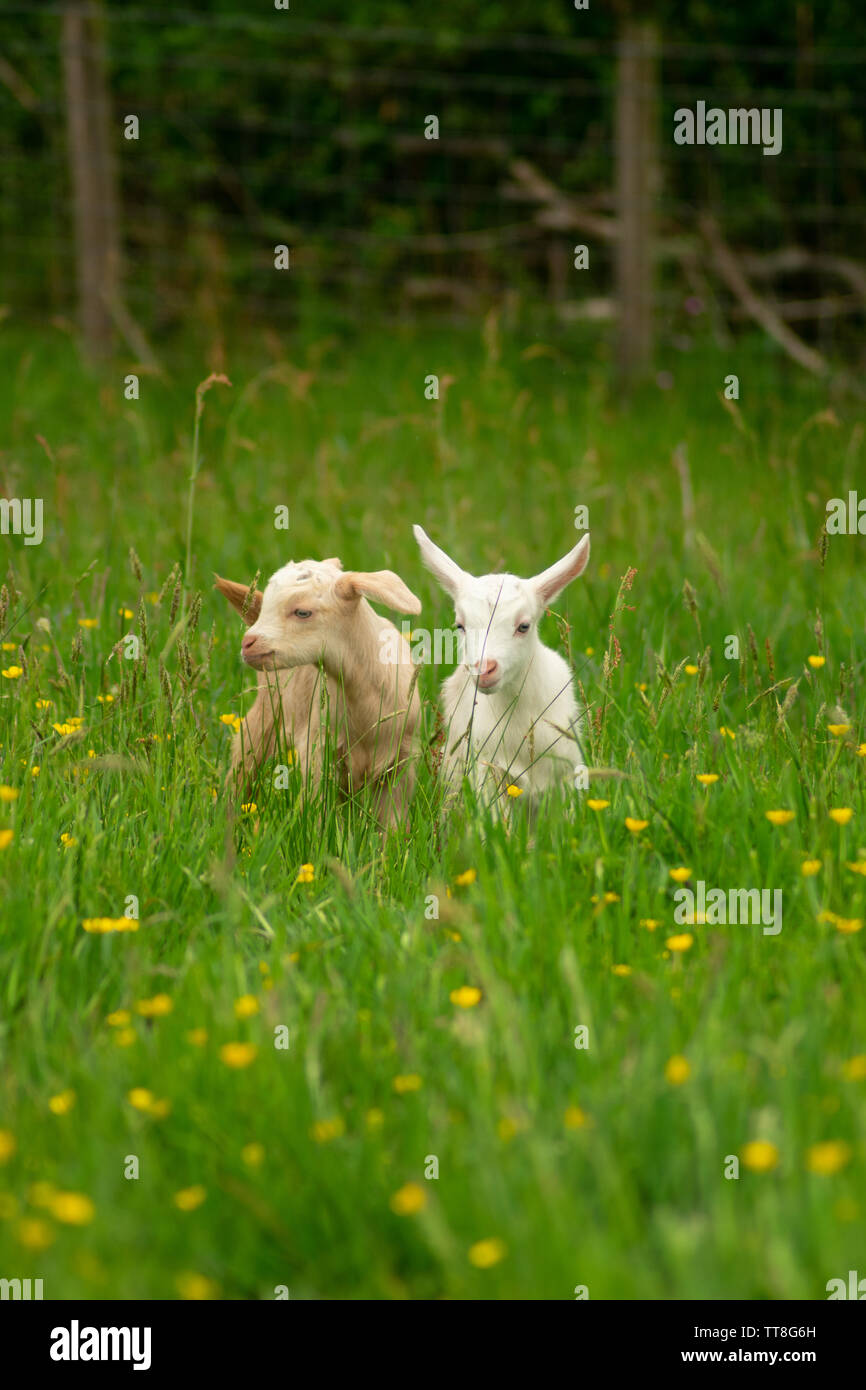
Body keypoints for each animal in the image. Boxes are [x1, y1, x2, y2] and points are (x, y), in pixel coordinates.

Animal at [215, 556, 422, 828]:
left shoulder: (400, 764)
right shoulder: (316, 751)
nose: (248, 643)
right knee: (242, 773)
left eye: (303, 612)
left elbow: (393, 826)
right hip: (264, 717)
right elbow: (319, 813)